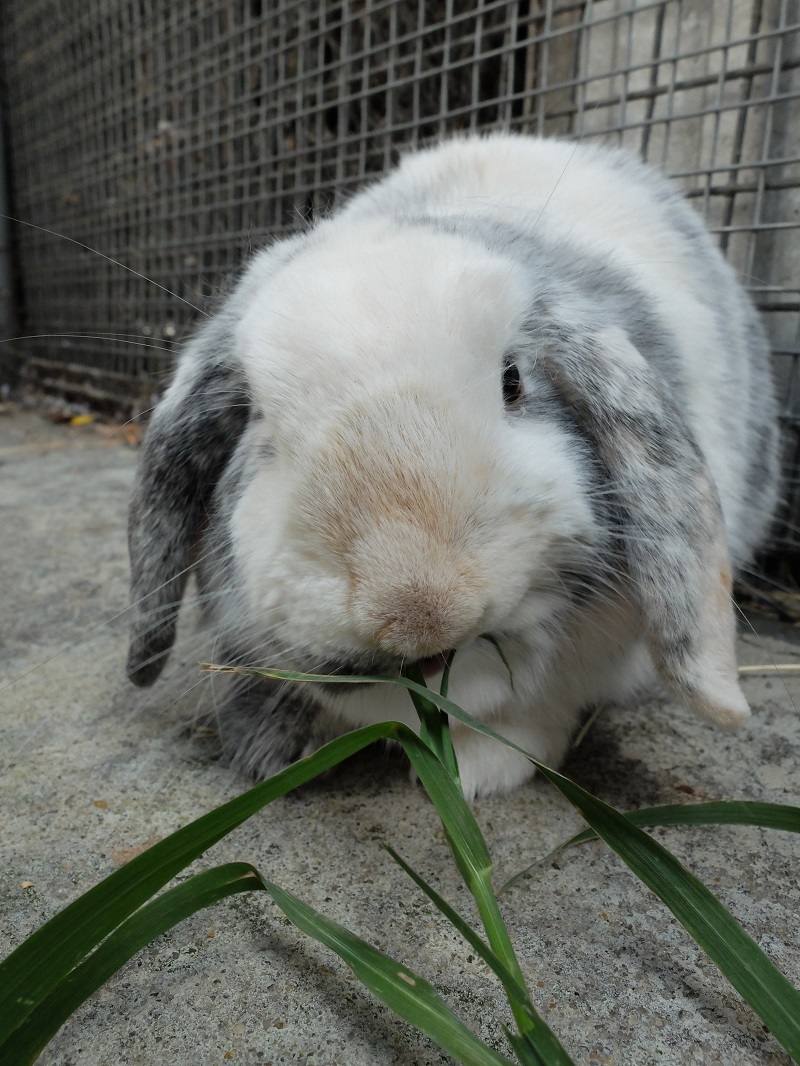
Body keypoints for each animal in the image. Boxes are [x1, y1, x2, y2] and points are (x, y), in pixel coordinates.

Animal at [127, 133, 780, 800]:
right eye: (258, 421)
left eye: (513, 380)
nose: (419, 608)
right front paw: (271, 752)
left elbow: (538, 710)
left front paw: (477, 773)